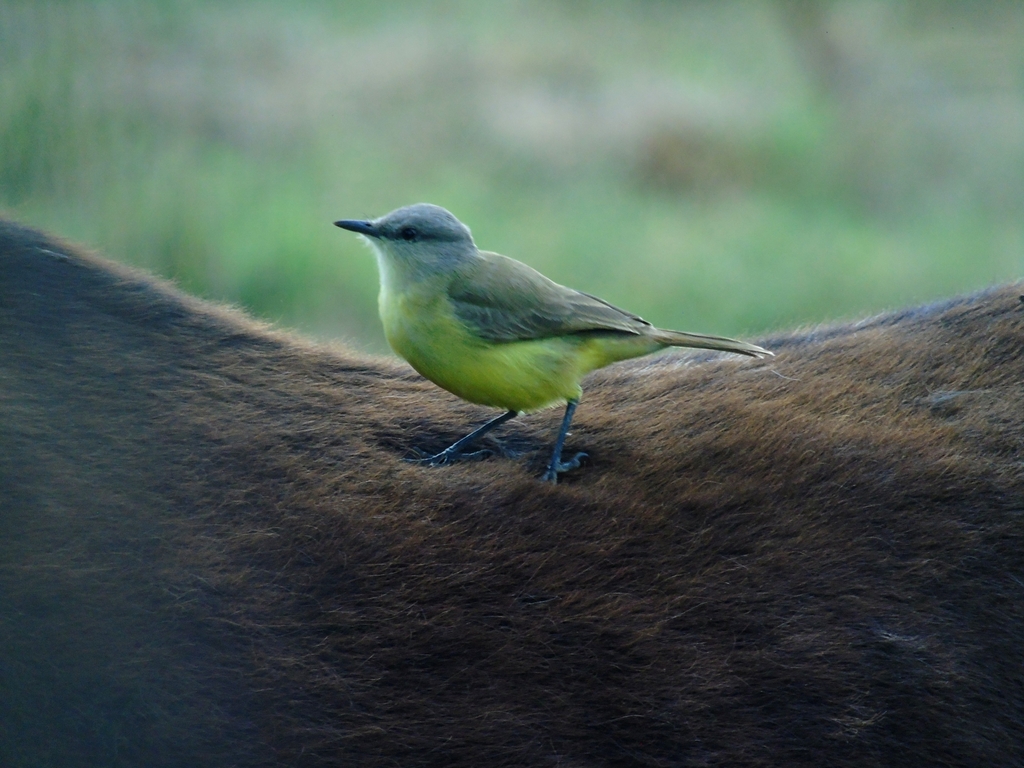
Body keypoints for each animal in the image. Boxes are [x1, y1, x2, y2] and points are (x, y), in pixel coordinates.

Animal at [1, 217, 1022, 767]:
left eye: (409, 231)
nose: (361, 226)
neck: (425, 290)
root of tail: (635, 326)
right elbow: (489, 420)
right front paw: (450, 450)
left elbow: (539, 411)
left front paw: (528, 458)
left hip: (575, 348)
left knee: (568, 401)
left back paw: (558, 457)